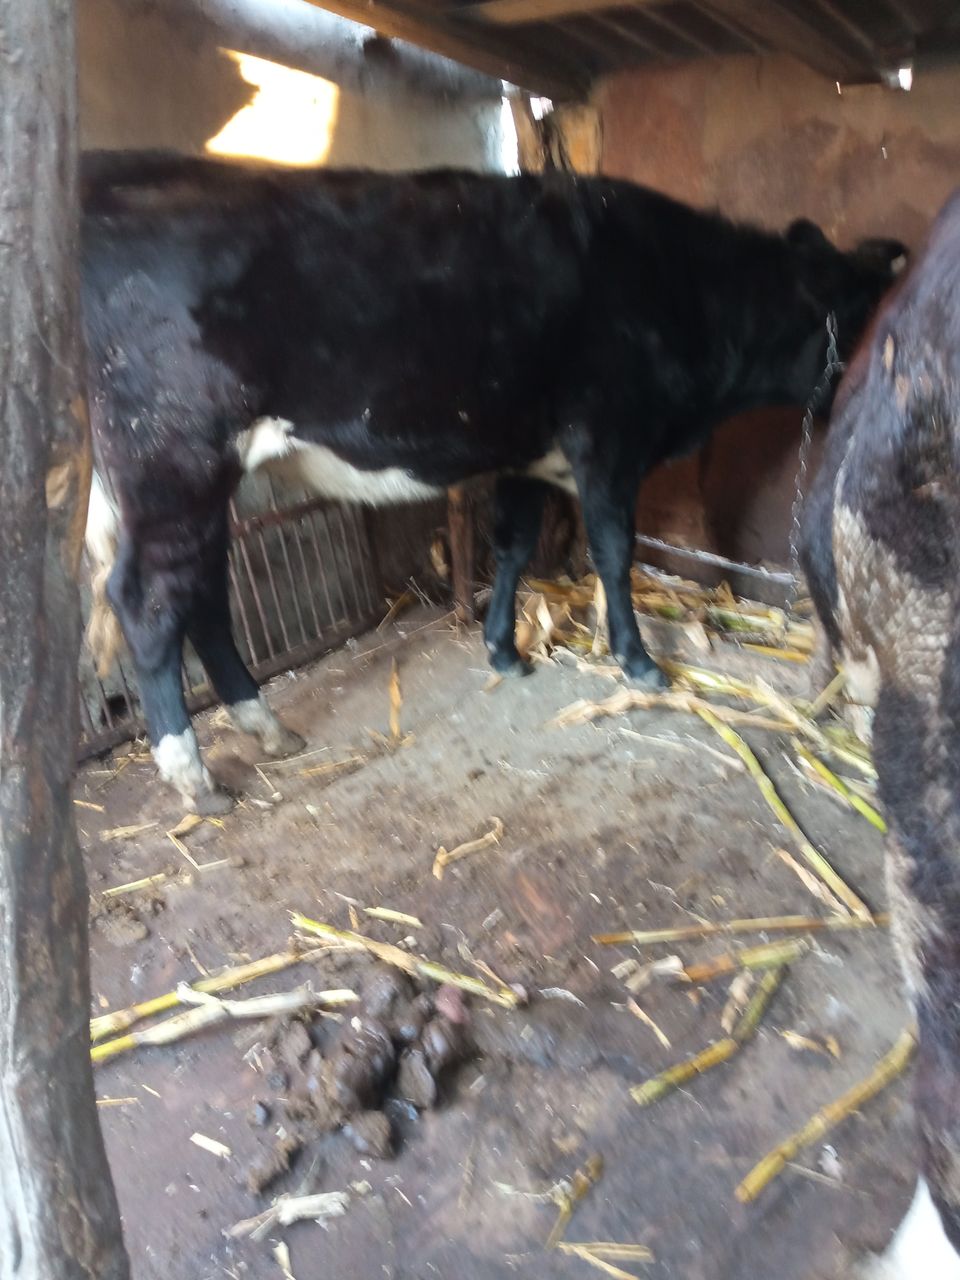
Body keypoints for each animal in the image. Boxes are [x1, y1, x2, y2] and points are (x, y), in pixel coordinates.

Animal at [80, 151, 905, 814]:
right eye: (867, 315)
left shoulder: (526, 453)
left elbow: (511, 545)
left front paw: (504, 649)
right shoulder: (607, 435)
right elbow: (613, 550)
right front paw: (638, 661)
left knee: (205, 597)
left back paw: (265, 725)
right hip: (174, 459)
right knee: (149, 602)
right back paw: (193, 775)